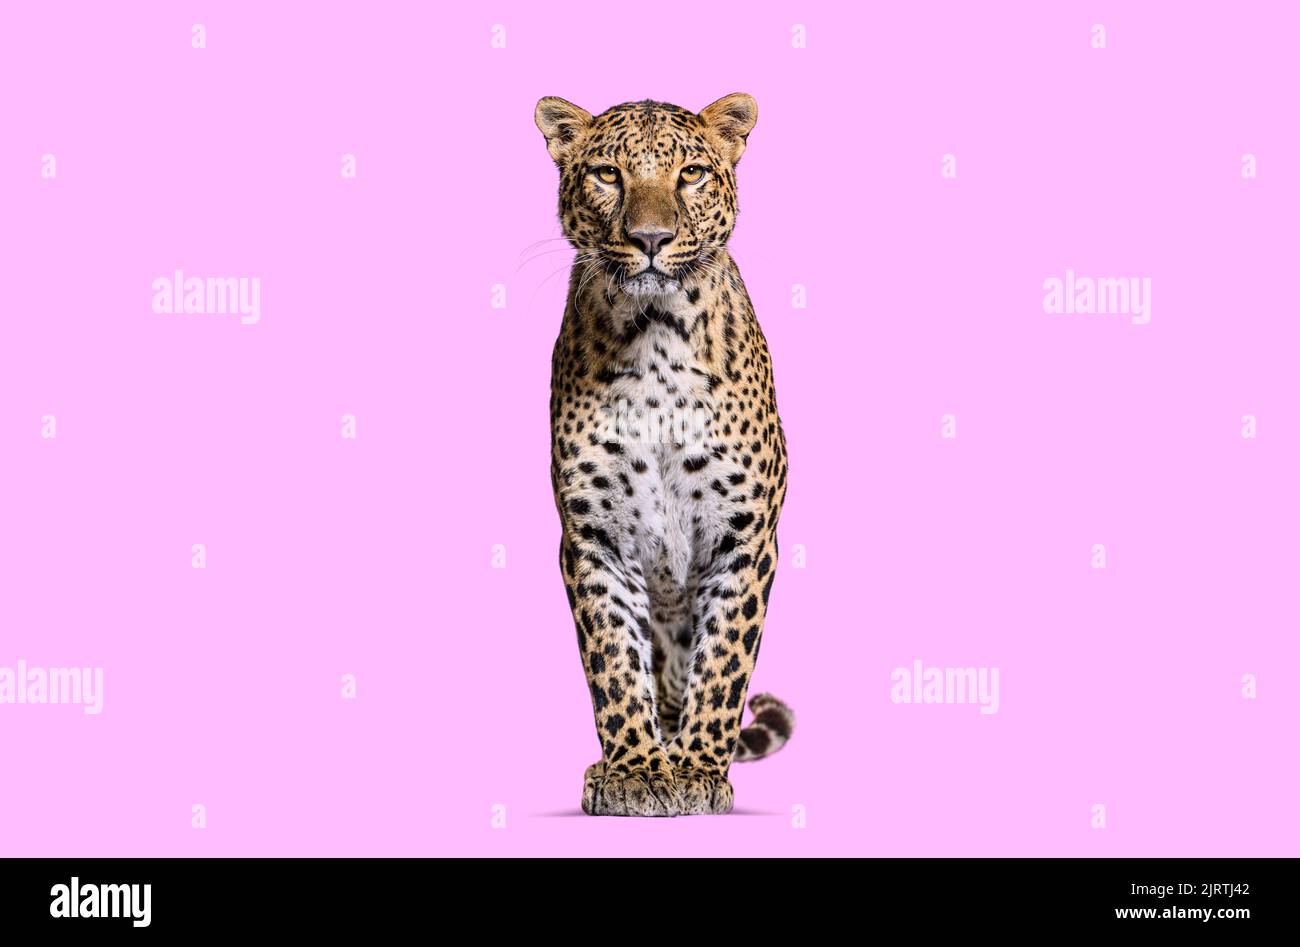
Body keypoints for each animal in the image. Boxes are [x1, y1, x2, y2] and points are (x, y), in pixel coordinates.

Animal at [535, 94, 795, 816]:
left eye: (691, 174)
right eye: (607, 174)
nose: (650, 238)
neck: (655, 339)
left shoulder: (744, 538)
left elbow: (724, 664)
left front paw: (699, 769)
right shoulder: (594, 538)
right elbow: (614, 663)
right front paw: (636, 771)